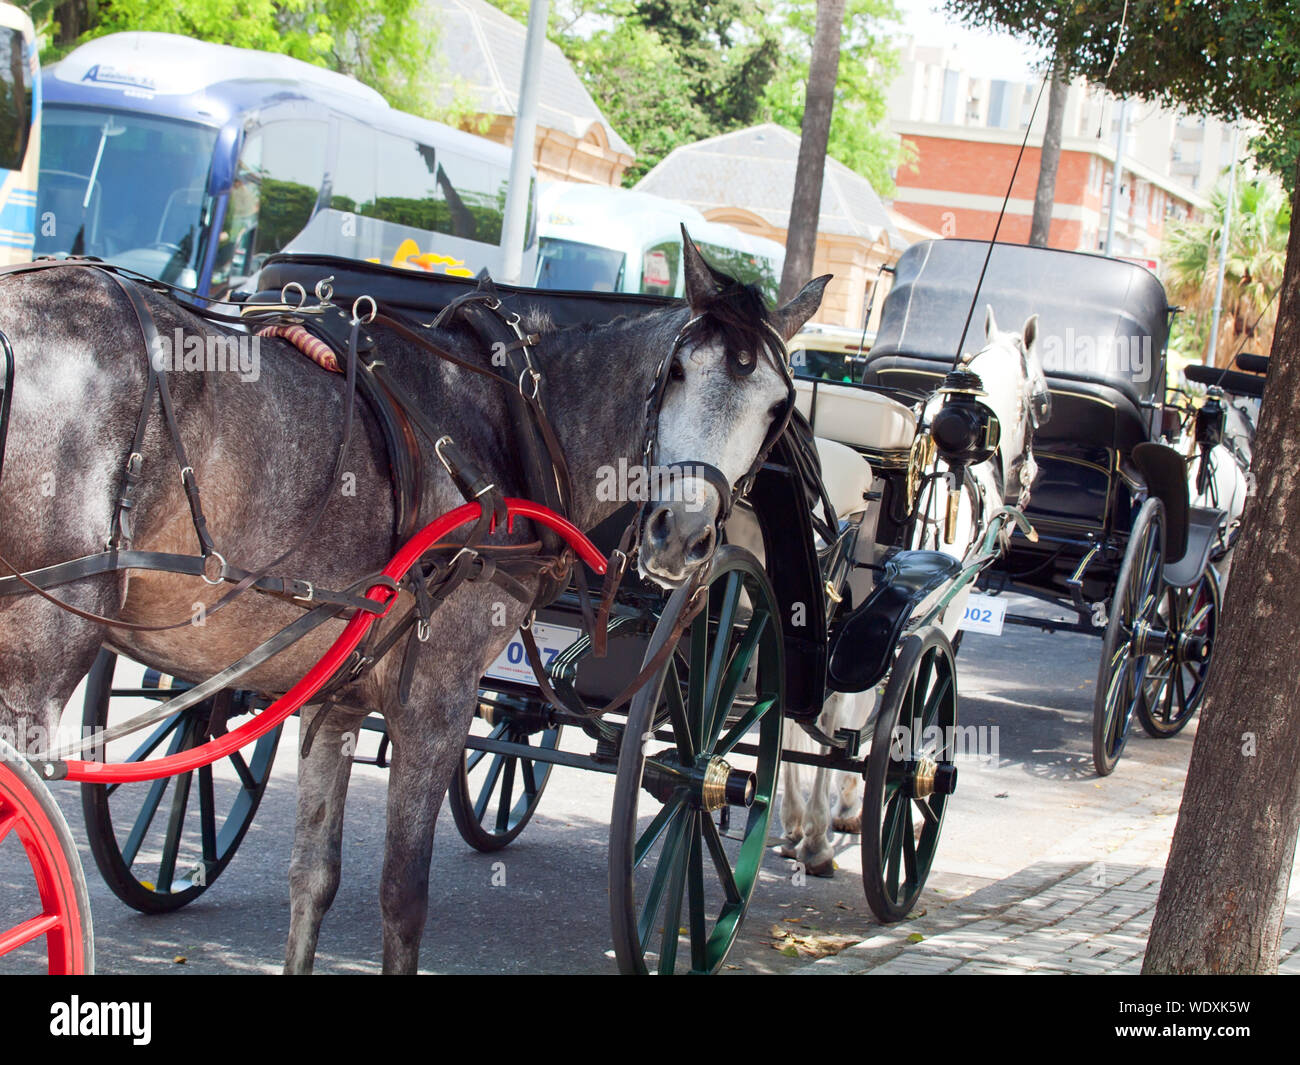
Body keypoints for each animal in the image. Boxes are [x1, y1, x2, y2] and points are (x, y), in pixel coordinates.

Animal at [0, 236, 829, 972]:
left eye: (778, 406)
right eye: (679, 370)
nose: (680, 534)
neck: (509, 415)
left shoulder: (334, 695)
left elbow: (313, 878)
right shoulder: (439, 695)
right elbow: (402, 894)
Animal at [777, 304, 1049, 876]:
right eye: (1043, 401)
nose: (1033, 473)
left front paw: (803, 820)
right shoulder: (931, 620)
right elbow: (881, 711)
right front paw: (843, 812)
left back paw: (794, 823)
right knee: (834, 715)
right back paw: (815, 838)